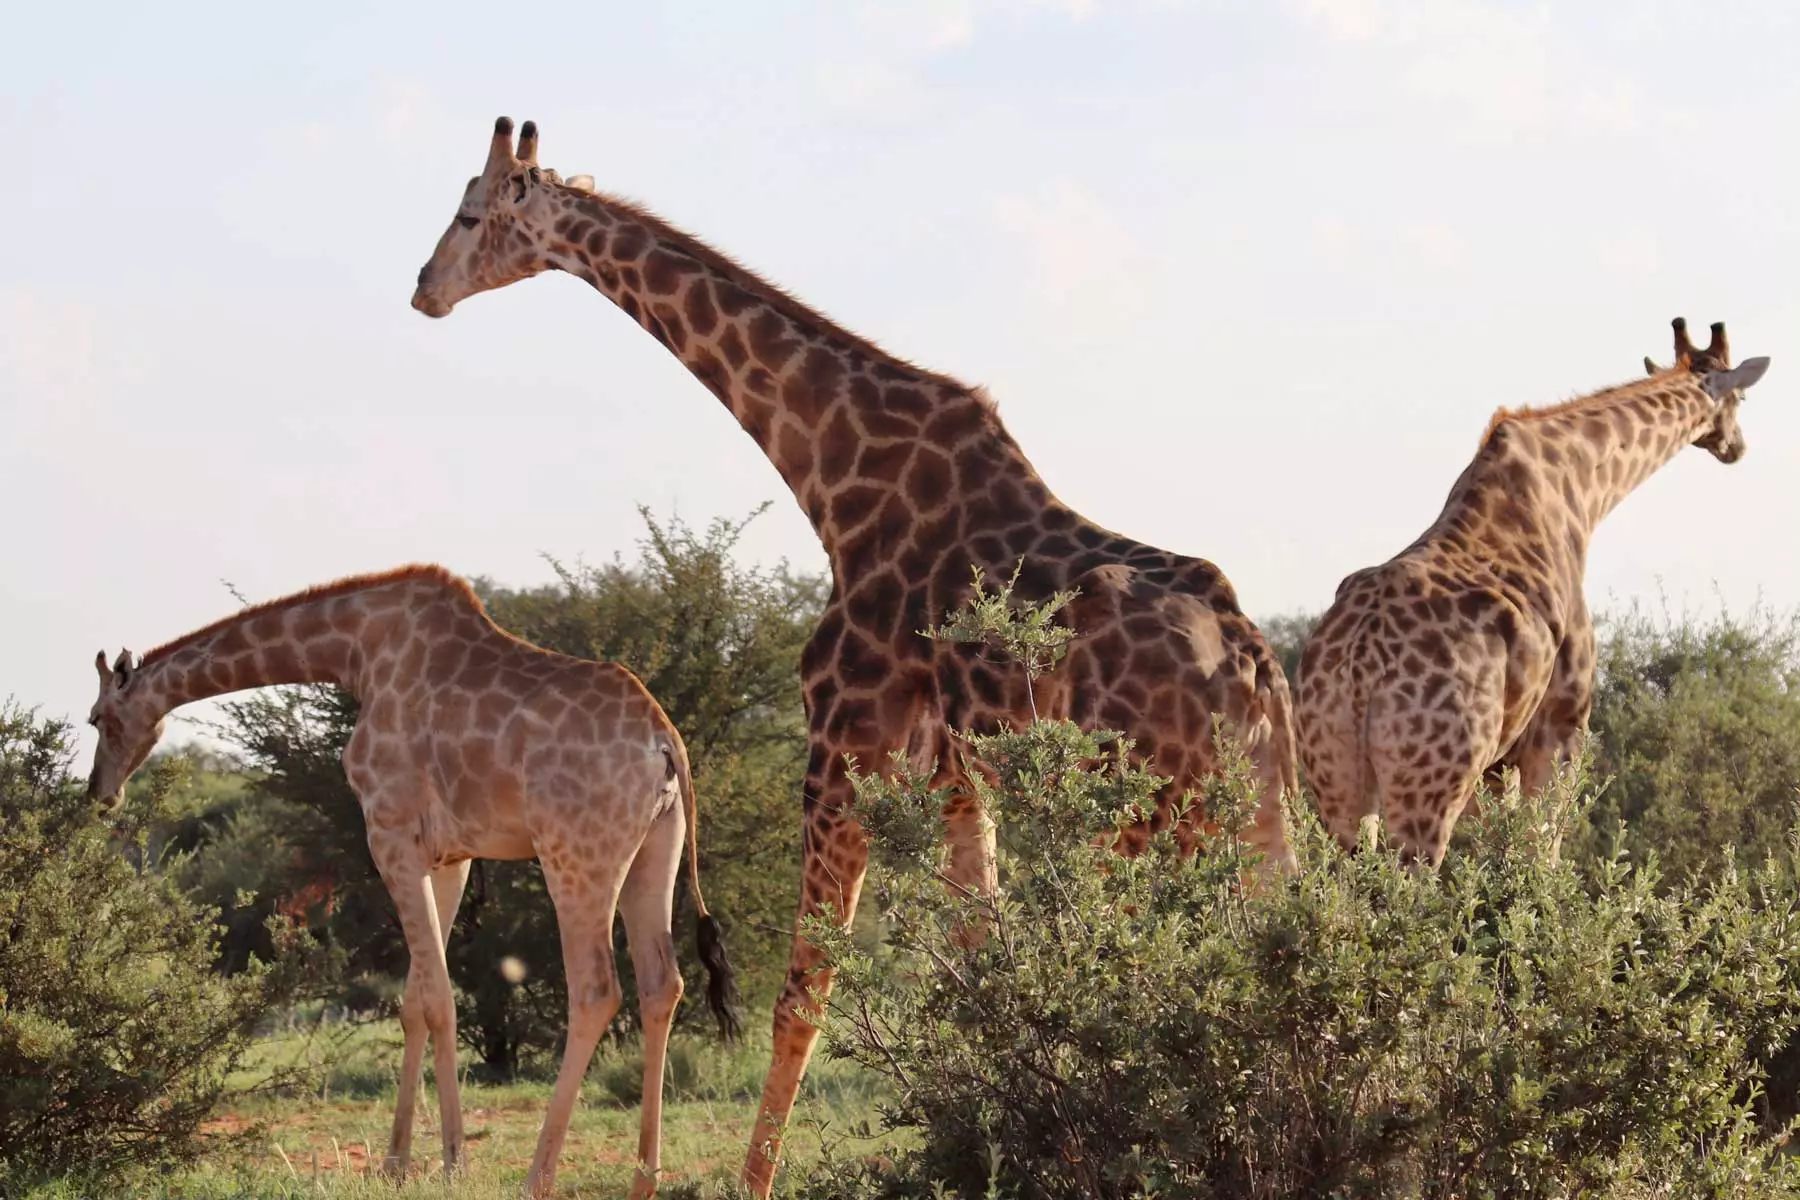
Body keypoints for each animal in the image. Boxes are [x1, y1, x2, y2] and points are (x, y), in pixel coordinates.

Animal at [81, 564, 741, 1200]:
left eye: (96, 718)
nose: (99, 793)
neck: (356, 652)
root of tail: (664, 742)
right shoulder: (449, 855)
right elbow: (415, 999)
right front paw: (396, 1163)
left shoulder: (390, 833)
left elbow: (440, 998)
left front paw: (451, 1163)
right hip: (656, 848)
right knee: (663, 985)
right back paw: (644, 1177)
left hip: (576, 855)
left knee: (597, 989)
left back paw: (538, 1177)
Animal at [408, 116, 1303, 1194]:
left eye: (468, 214)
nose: (422, 288)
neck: (834, 476)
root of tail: (1248, 667)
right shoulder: (959, 773)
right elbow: (977, 958)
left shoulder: (845, 742)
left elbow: (806, 987)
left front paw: (756, 1181)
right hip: (1256, 809)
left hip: (1144, 813)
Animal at [1296, 318, 1771, 863]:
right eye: (1741, 399)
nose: (1736, 447)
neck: (1584, 487)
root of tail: (1359, 664)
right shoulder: (1563, 723)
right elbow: (1544, 852)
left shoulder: (1501, 761)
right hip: (1428, 785)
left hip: (1336, 779)